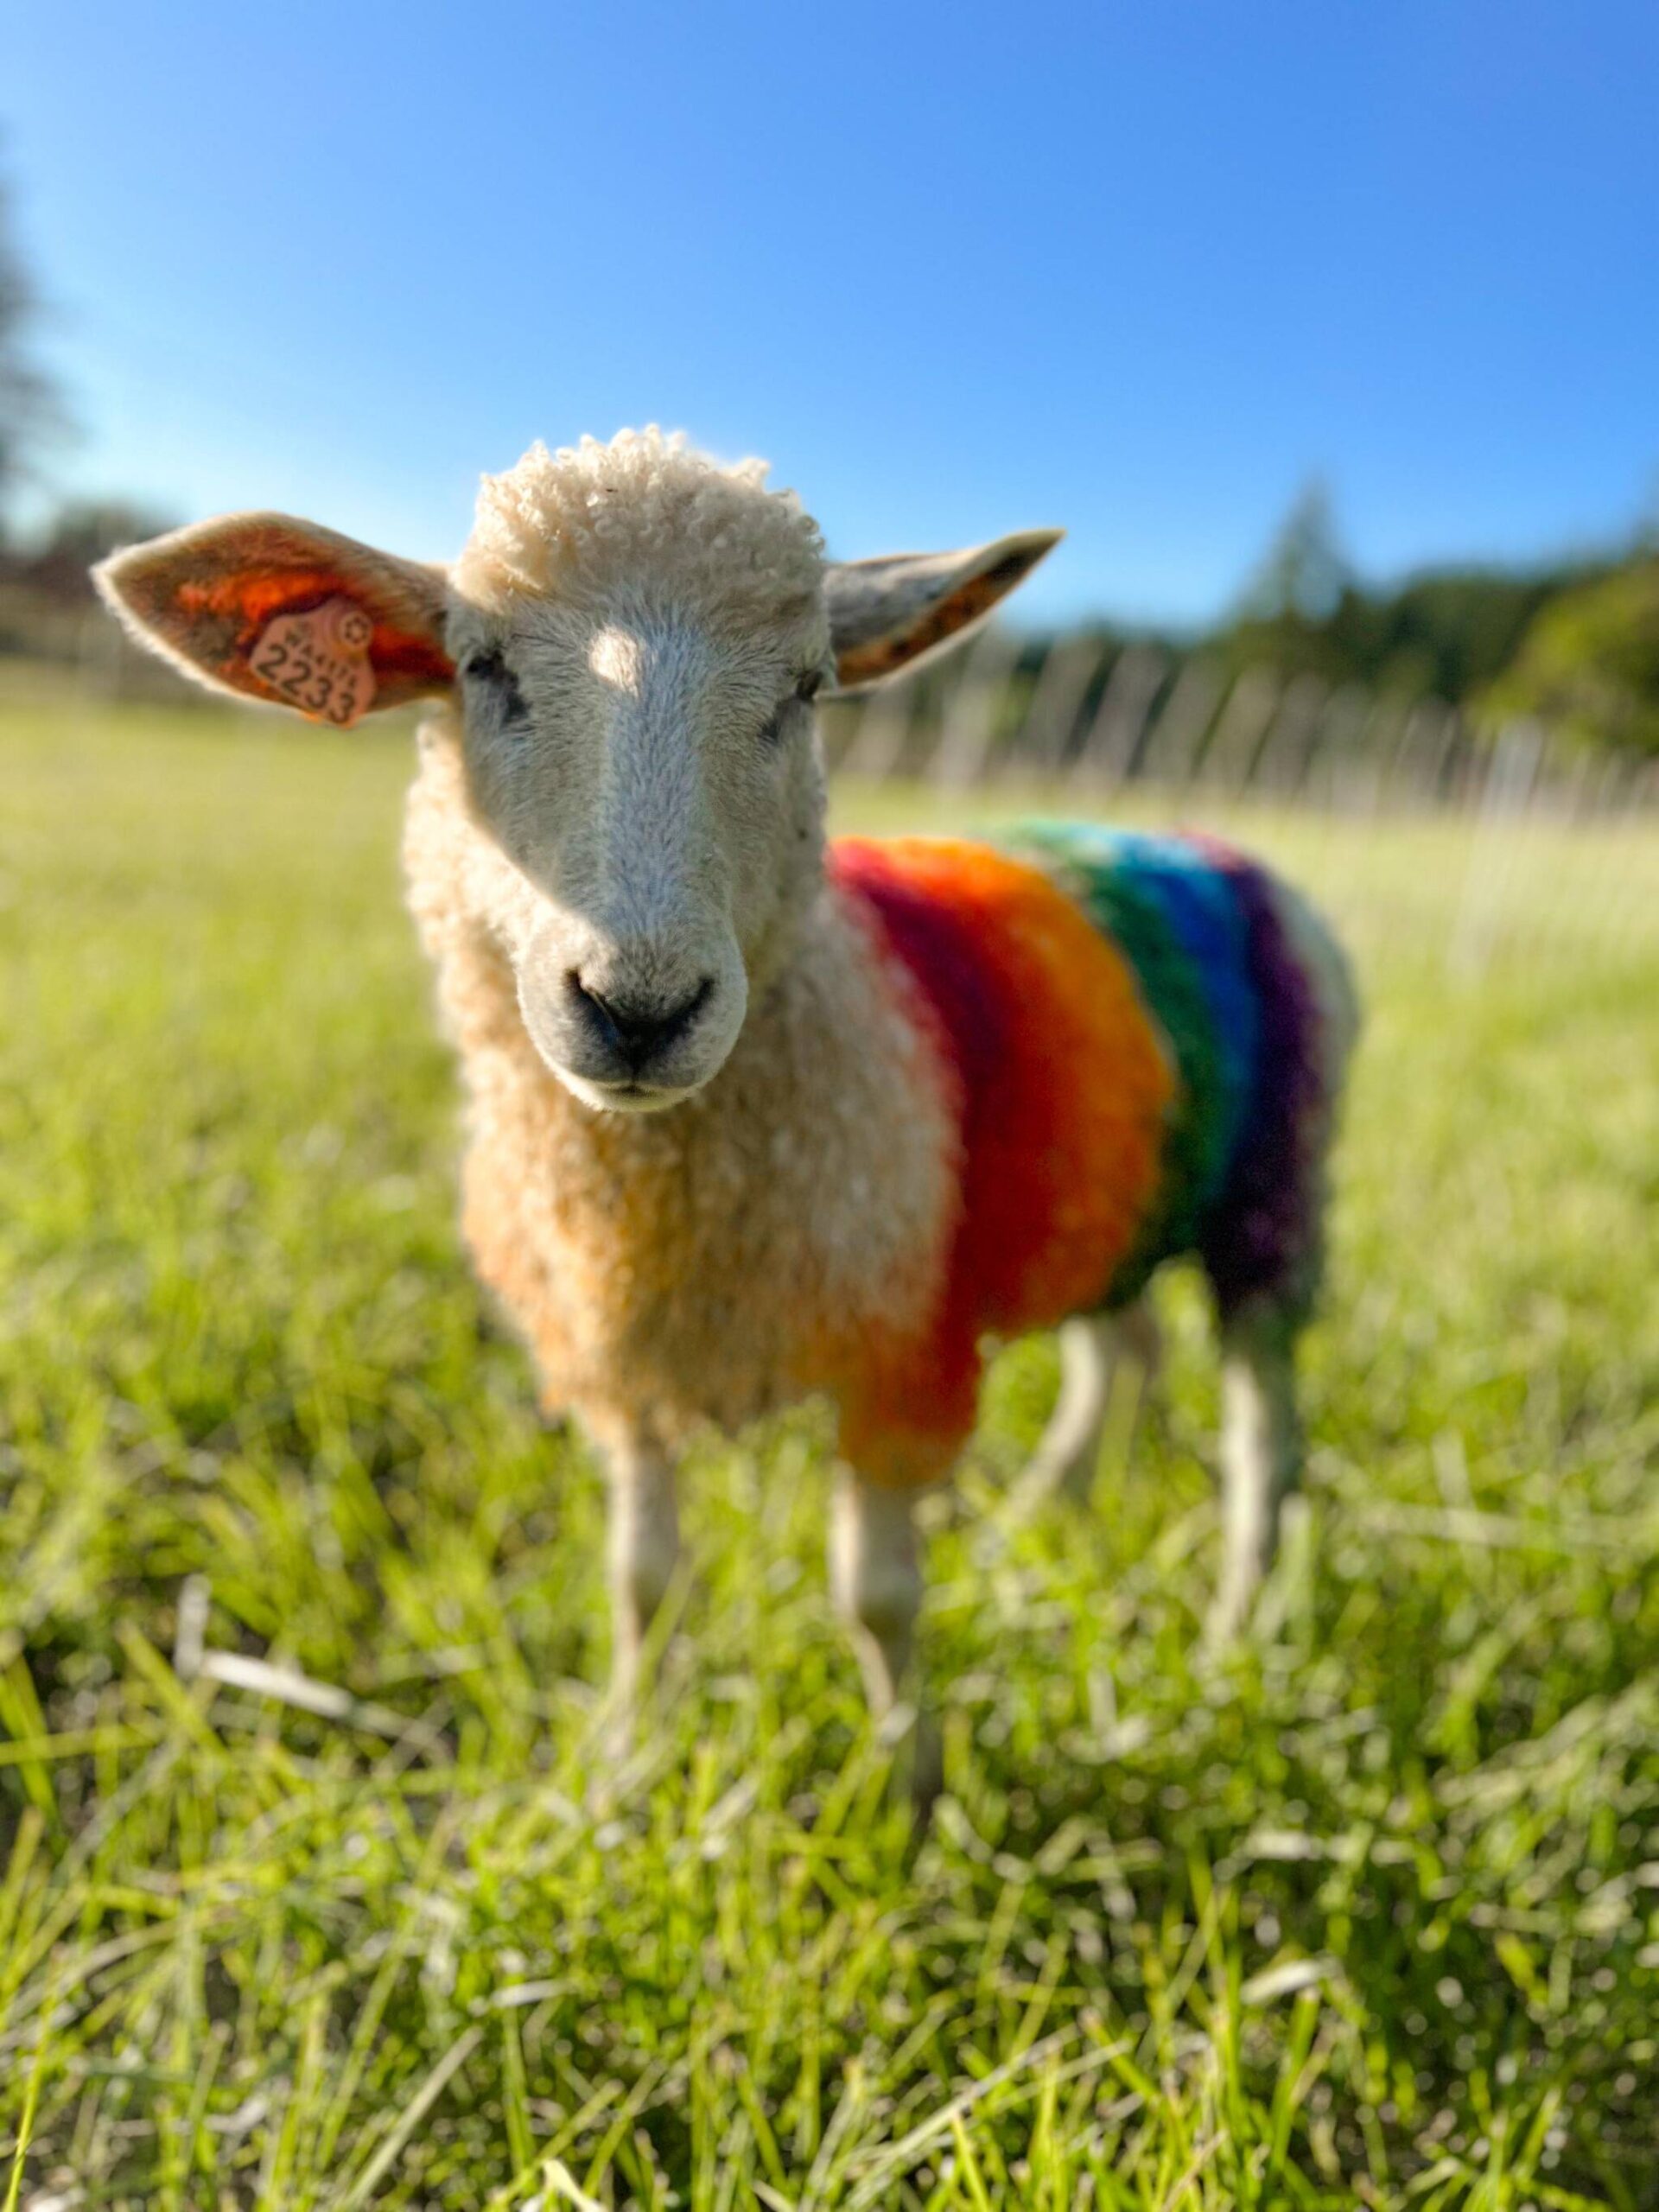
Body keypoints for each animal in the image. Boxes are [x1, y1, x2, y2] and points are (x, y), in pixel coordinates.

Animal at [95, 427, 1359, 1776]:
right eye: (481, 666)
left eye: (807, 688)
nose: (638, 1006)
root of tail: (1212, 844)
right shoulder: (621, 1353)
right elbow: (642, 1576)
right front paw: (622, 1763)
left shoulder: (897, 1341)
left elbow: (878, 1596)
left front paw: (906, 1787)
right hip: (1103, 1195)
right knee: (1122, 1351)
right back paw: (1044, 1519)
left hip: (1276, 1211)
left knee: (1263, 1441)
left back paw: (1237, 1627)